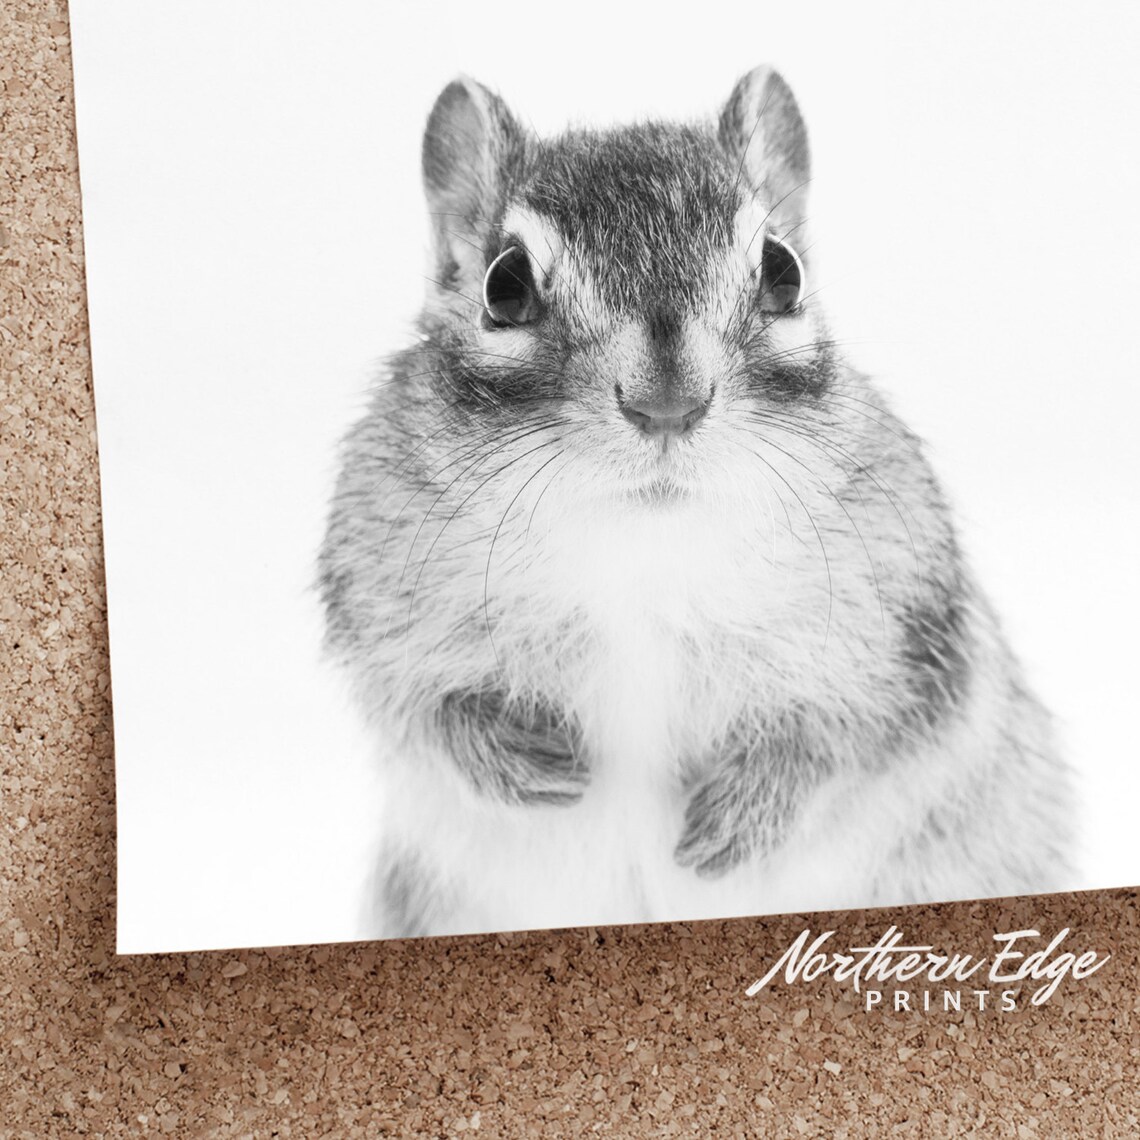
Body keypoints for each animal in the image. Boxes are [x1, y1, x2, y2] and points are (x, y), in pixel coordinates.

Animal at [319, 66, 1074, 938]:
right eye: (502, 285)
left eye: (783, 271)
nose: (668, 404)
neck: (643, 547)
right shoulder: (378, 600)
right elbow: (423, 708)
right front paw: (518, 761)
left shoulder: (905, 632)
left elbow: (849, 733)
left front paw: (745, 812)